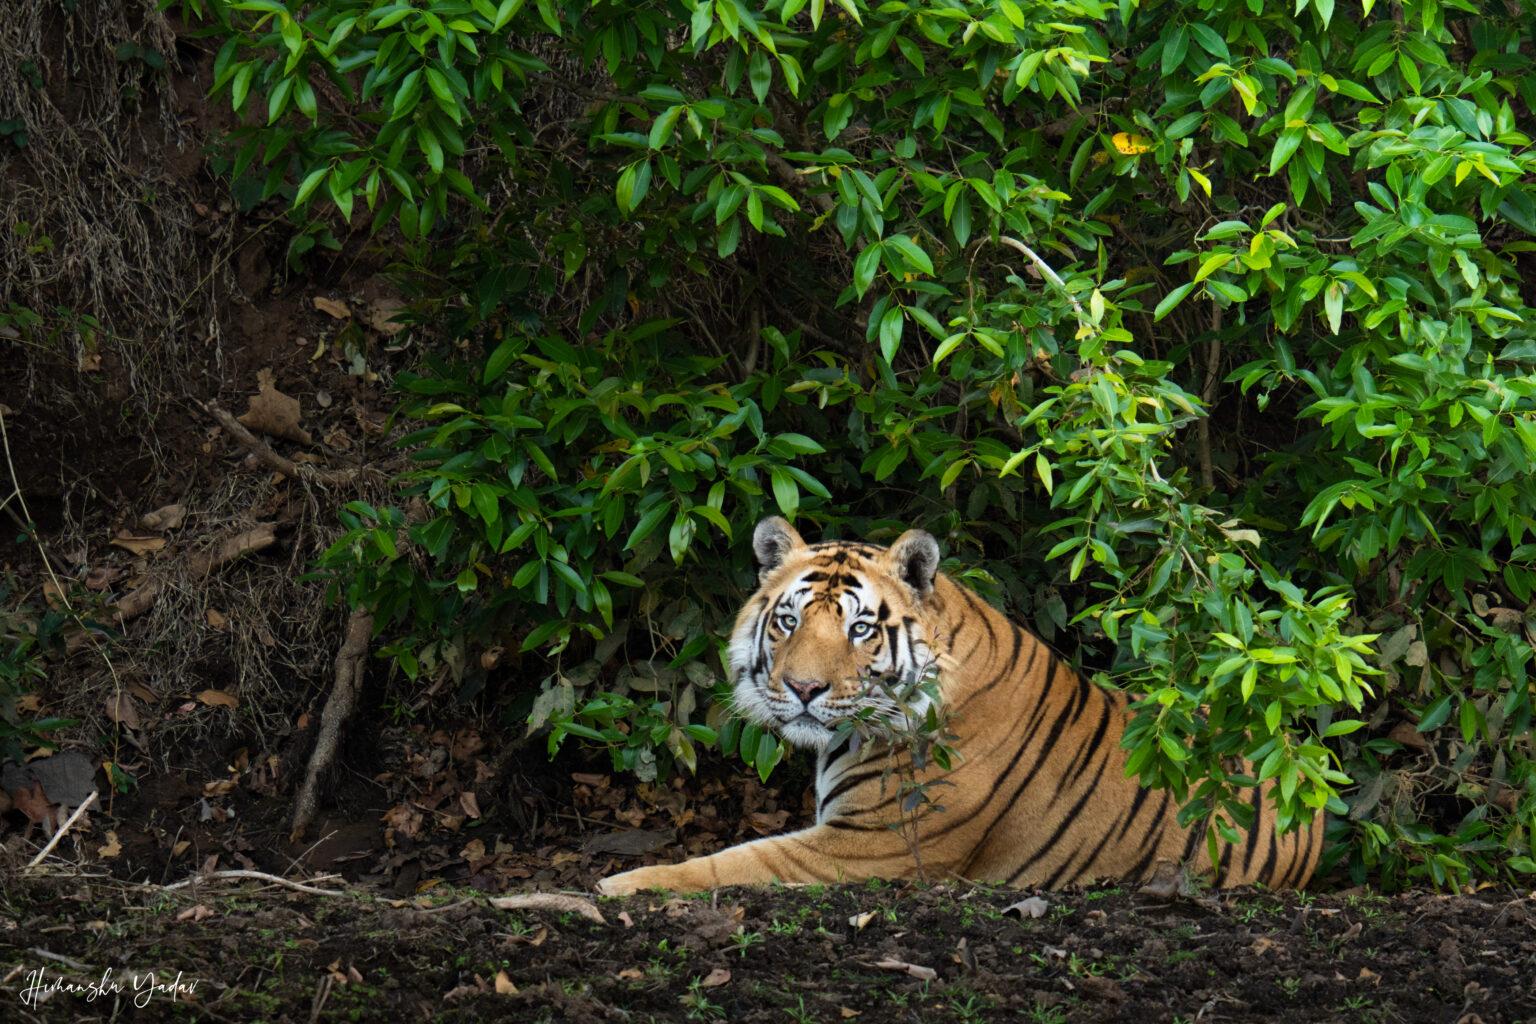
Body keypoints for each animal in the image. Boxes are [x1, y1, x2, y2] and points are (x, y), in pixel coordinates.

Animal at [596, 517, 1322, 895]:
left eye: (860, 629)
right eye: (789, 622)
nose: (803, 689)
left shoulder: (871, 846)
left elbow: (735, 861)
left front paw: (620, 885)